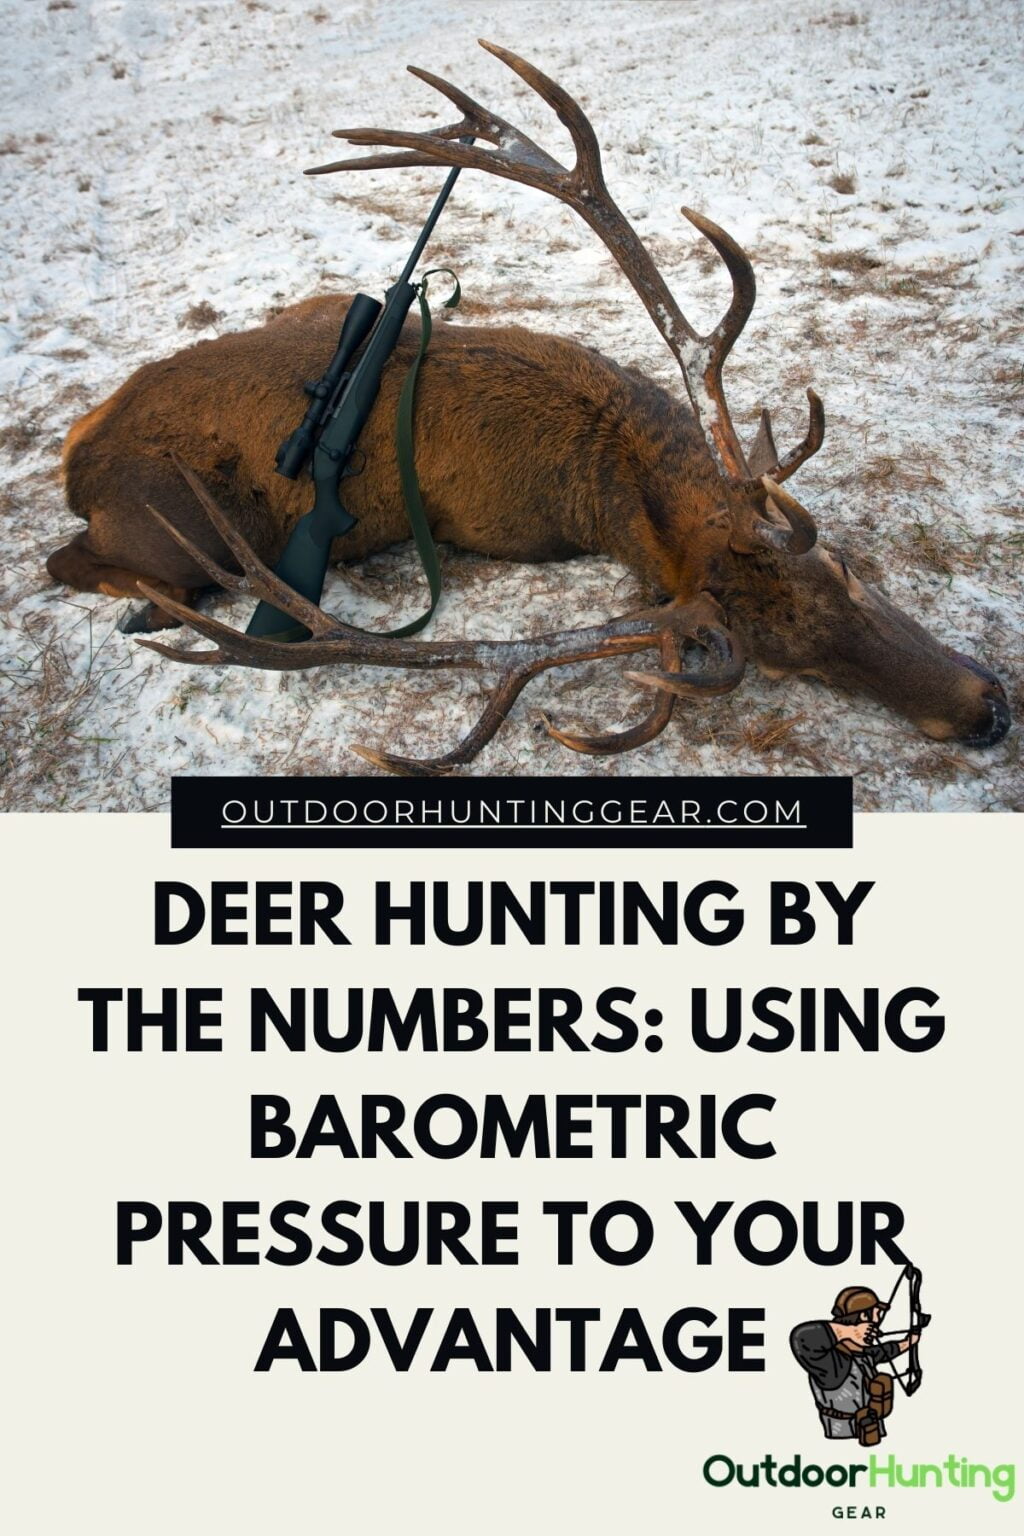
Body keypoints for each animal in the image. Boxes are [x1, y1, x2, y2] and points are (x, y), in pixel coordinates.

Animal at [47, 40, 1011, 775]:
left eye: (847, 572)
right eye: (791, 667)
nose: (989, 710)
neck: (621, 462)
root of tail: (75, 456)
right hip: (176, 529)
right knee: (72, 561)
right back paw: (148, 605)